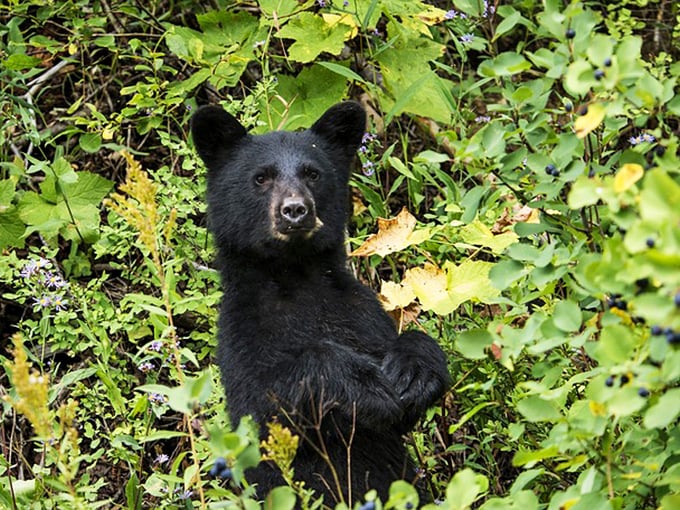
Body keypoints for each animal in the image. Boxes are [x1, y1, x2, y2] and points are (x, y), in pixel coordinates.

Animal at [190, 101, 451, 507]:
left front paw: (413, 372)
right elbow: (266, 400)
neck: (295, 278)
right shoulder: (243, 331)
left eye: (312, 173)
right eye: (261, 178)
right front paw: (364, 385)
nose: (295, 210)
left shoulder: (359, 311)